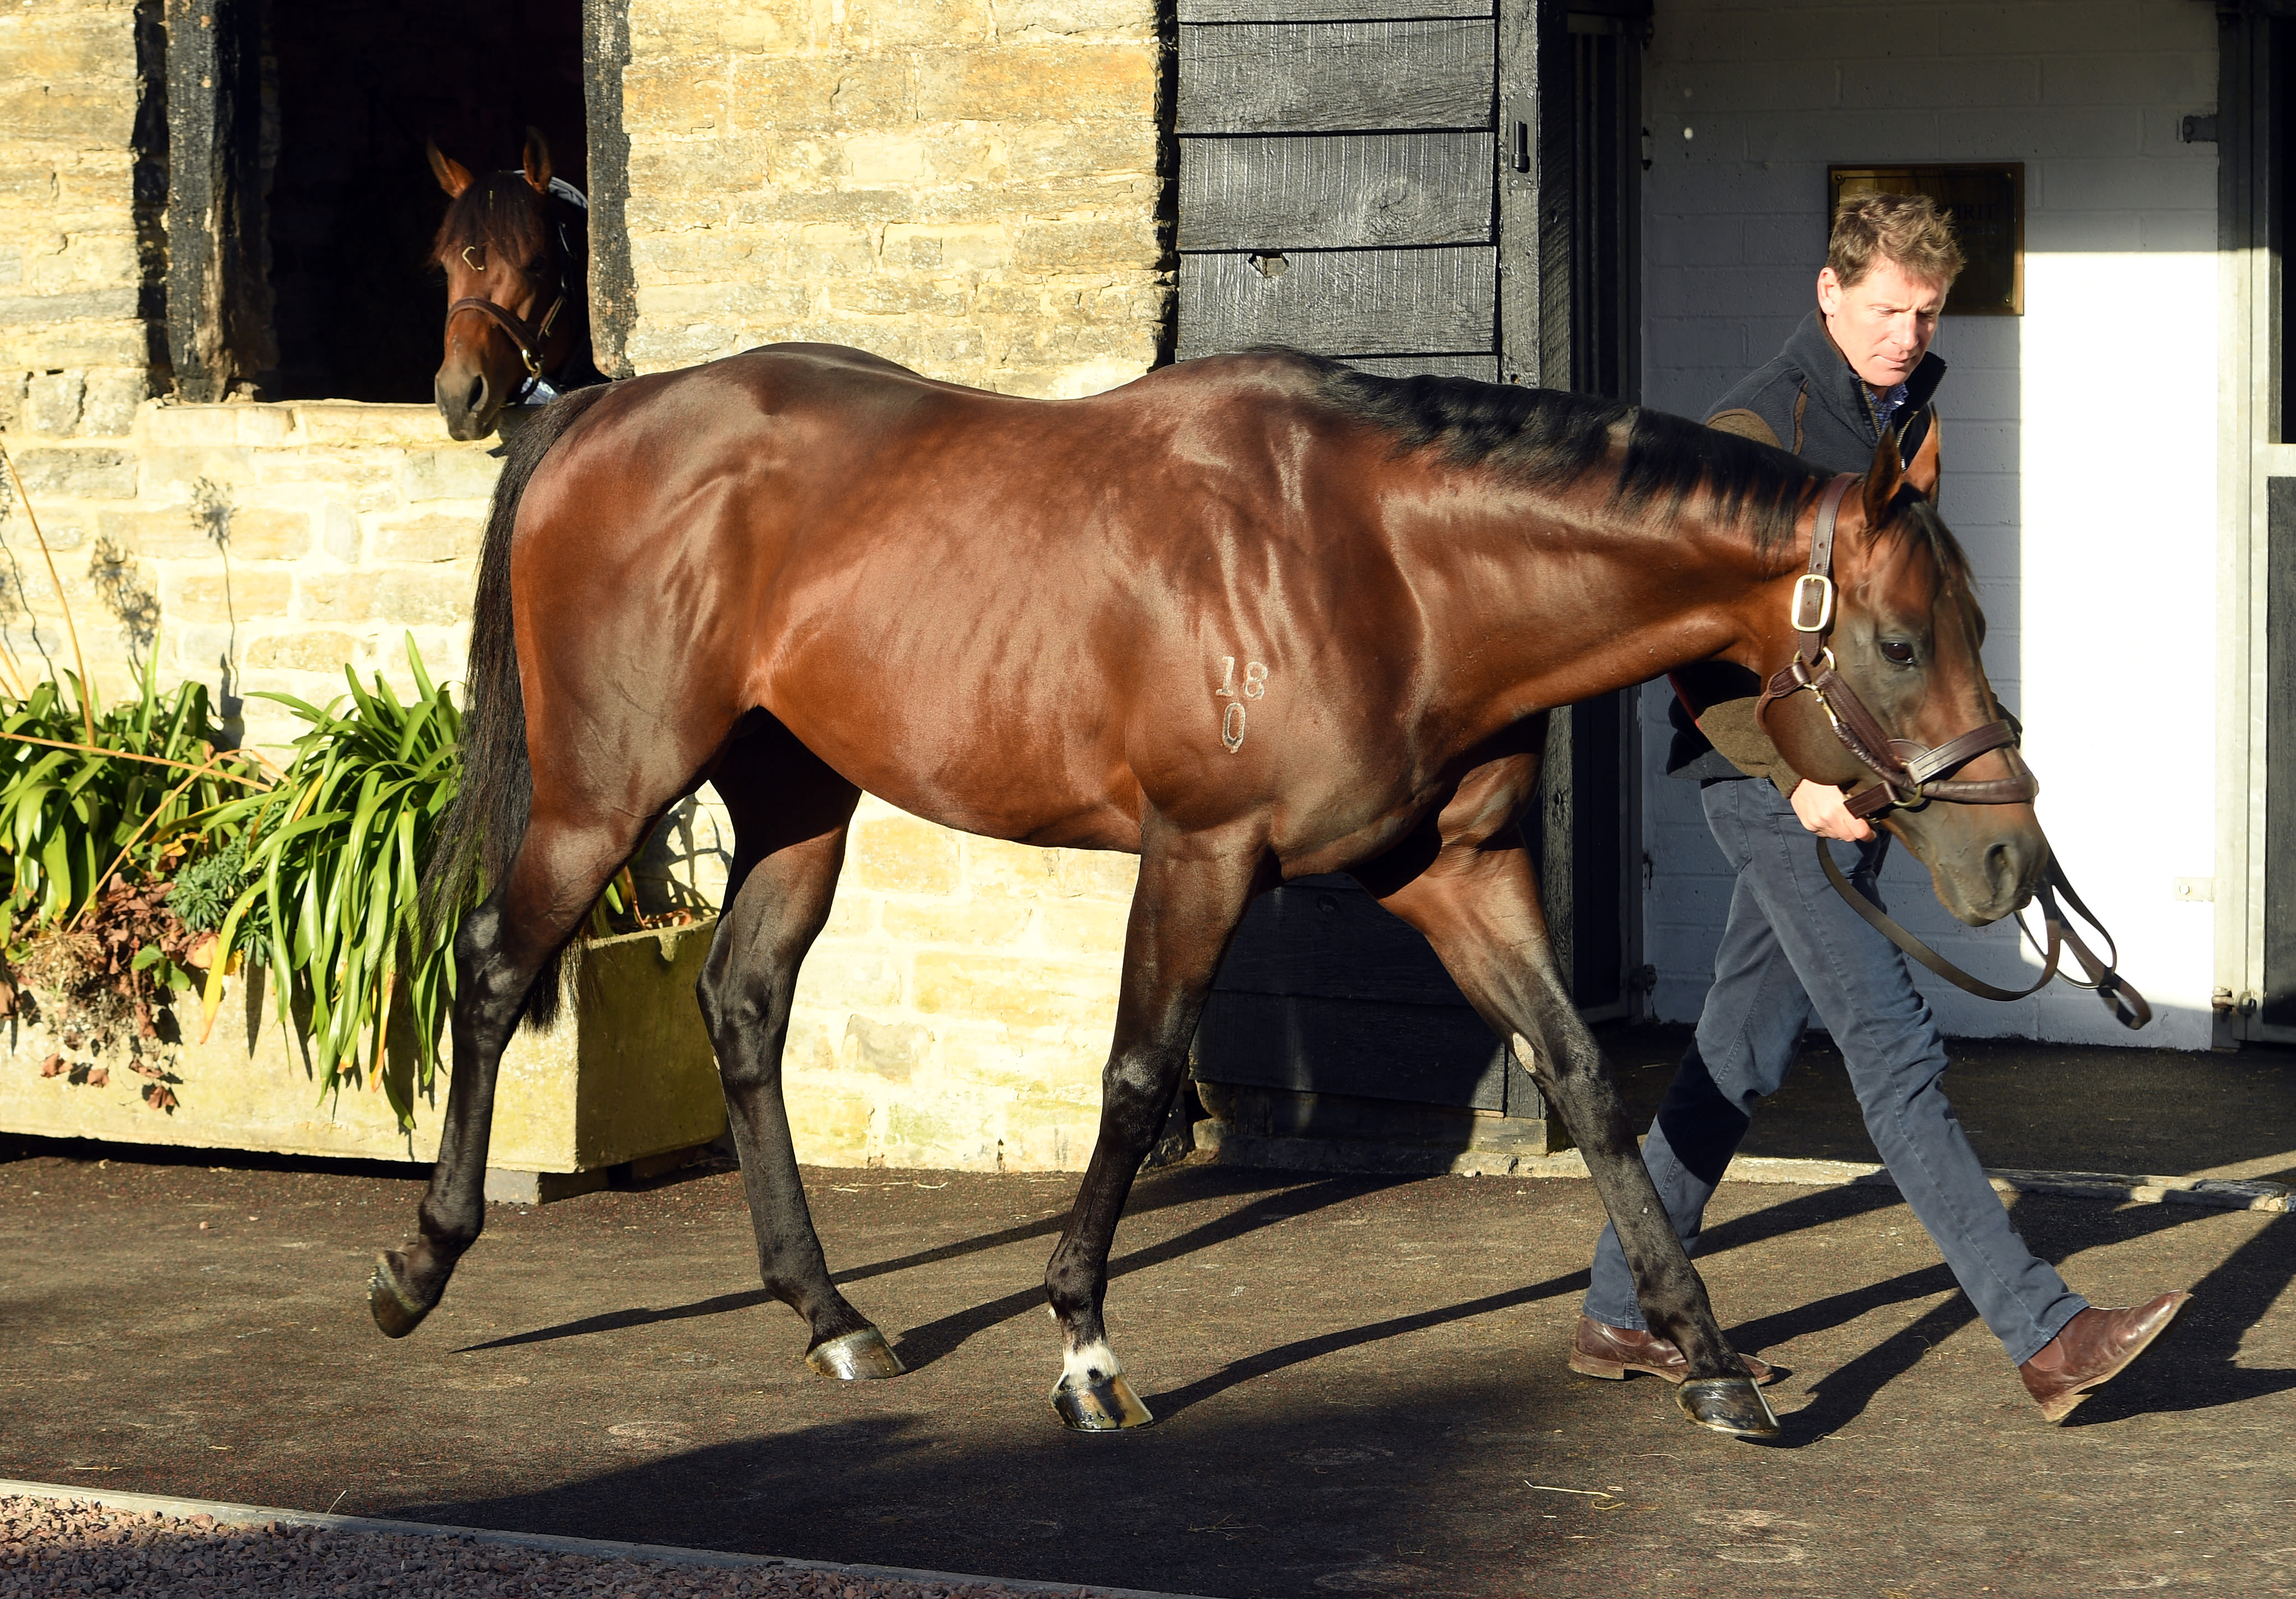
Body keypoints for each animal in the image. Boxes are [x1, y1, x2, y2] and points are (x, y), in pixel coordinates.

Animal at [366, 344, 2043, 1442]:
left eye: (1969, 622)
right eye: (1899, 640)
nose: (2007, 861)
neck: (1385, 567)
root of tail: (602, 406)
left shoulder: (1458, 874)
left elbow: (1580, 1074)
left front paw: (1710, 1359)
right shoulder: (1201, 852)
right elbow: (1133, 1076)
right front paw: (1084, 1348)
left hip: (797, 798)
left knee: (743, 1003)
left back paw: (831, 1318)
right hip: (606, 785)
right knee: (495, 966)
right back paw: (419, 1264)